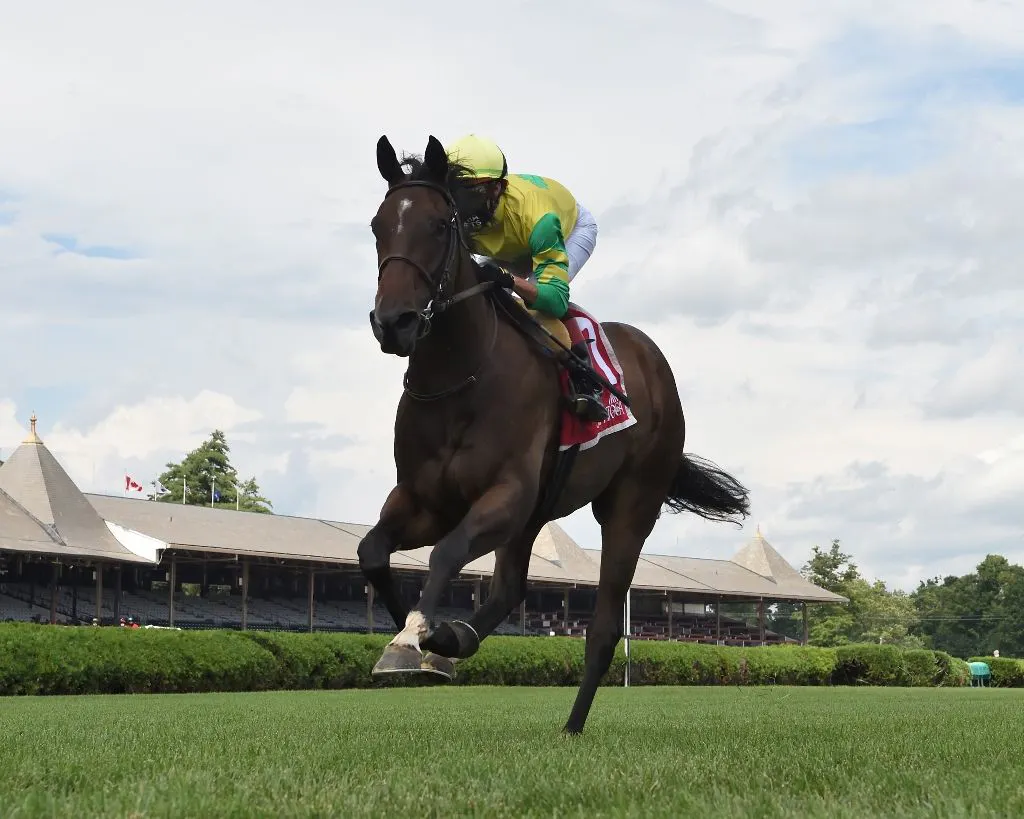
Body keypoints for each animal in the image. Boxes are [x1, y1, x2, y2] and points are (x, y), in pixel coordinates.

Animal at [360, 134, 750, 735]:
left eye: (438, 225)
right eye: (378, 226)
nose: (394, 322)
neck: (461, 377)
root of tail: (652, 360)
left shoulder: (506, 495)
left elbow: (445, 554)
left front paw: (415, 640)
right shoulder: (426, 500)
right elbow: (373, 551)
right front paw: (422, 633)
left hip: (629, 505)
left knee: (604, 627)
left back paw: (571, 726)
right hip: (536, 514)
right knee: (508, 589)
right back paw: (459, 638)